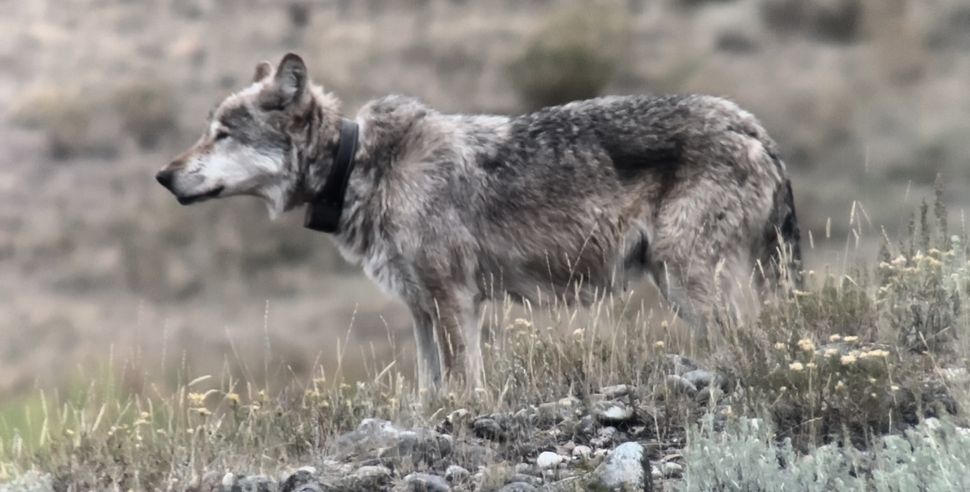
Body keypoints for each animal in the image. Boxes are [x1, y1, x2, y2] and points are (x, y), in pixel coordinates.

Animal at [157, 53, 801, 392]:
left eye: (223, 133)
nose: (163, 176)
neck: (364, 166)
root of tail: (753, 126)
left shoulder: (453, 300)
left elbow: (465, 383)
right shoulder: (421, 309)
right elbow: (430, 389)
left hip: (685, 276)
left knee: (746, 339)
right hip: (680, 282)